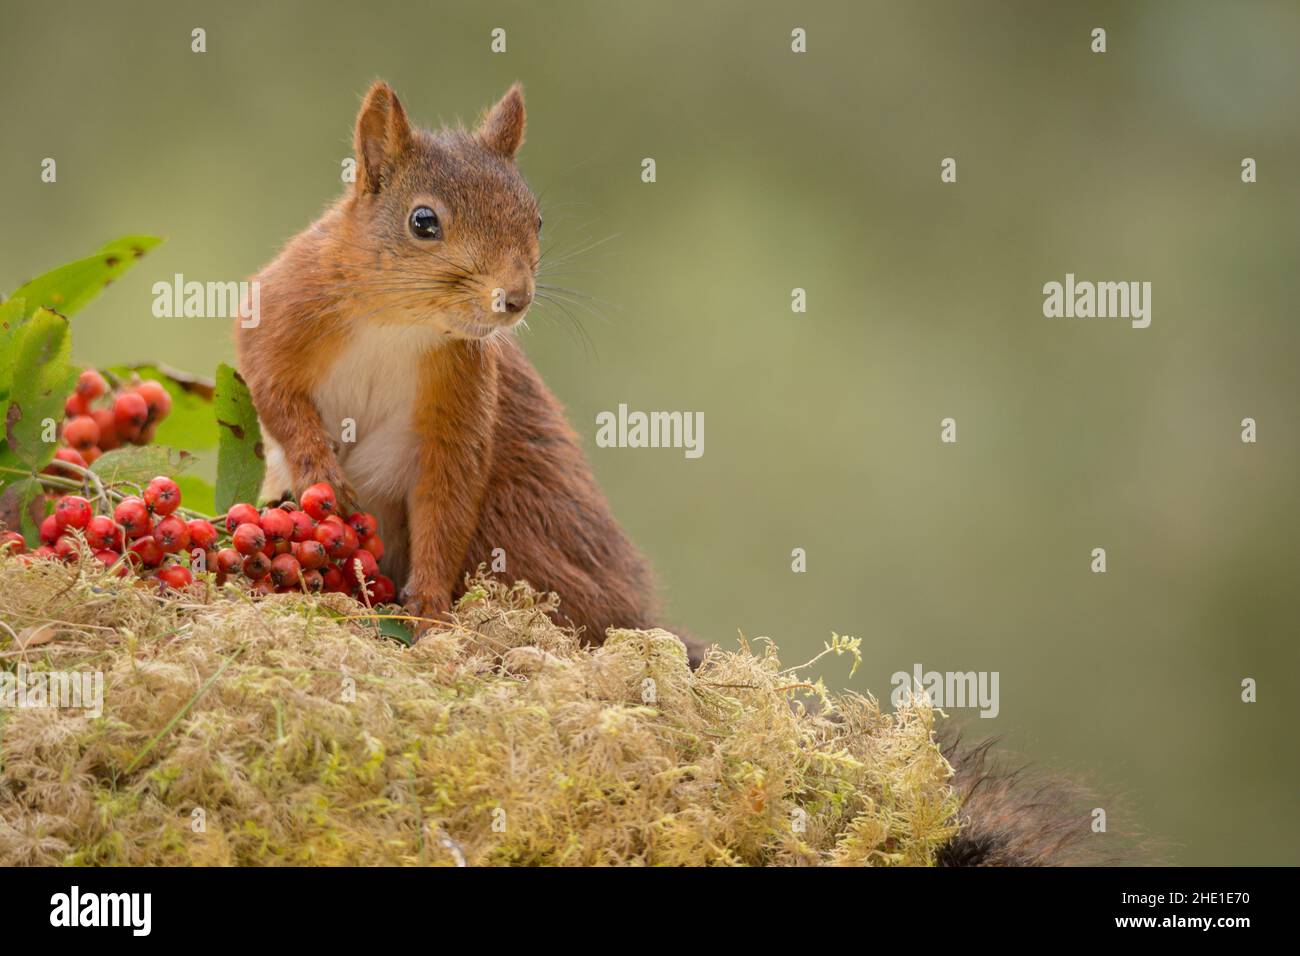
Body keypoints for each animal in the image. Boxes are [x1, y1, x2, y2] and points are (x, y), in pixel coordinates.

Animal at [236, 81, 687, 655]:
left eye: (536, 219)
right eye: (423, 222)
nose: (516, 298)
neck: (398, 323)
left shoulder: (461, 393)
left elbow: (448, 496)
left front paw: (429, 606)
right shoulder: (282, 309)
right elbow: (273, 389)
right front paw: (320, 470)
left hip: (513, 523)